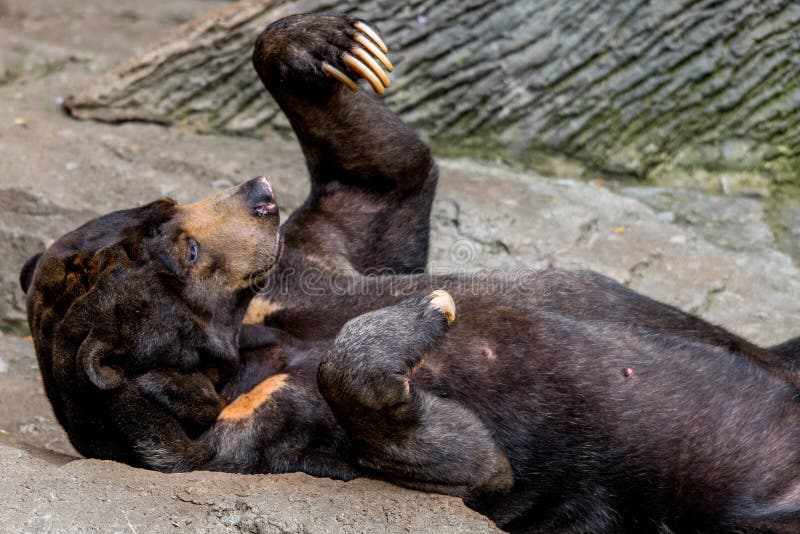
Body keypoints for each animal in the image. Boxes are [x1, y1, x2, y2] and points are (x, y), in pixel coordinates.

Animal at [18, 11, 800, 533]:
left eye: (169, 208)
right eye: (183, 249)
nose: (260, 194)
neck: (242, 340)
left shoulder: (304, 265)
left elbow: (382, 188)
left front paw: (329, 44)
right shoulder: (247, 433)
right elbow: (465, 460)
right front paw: (426, 315)